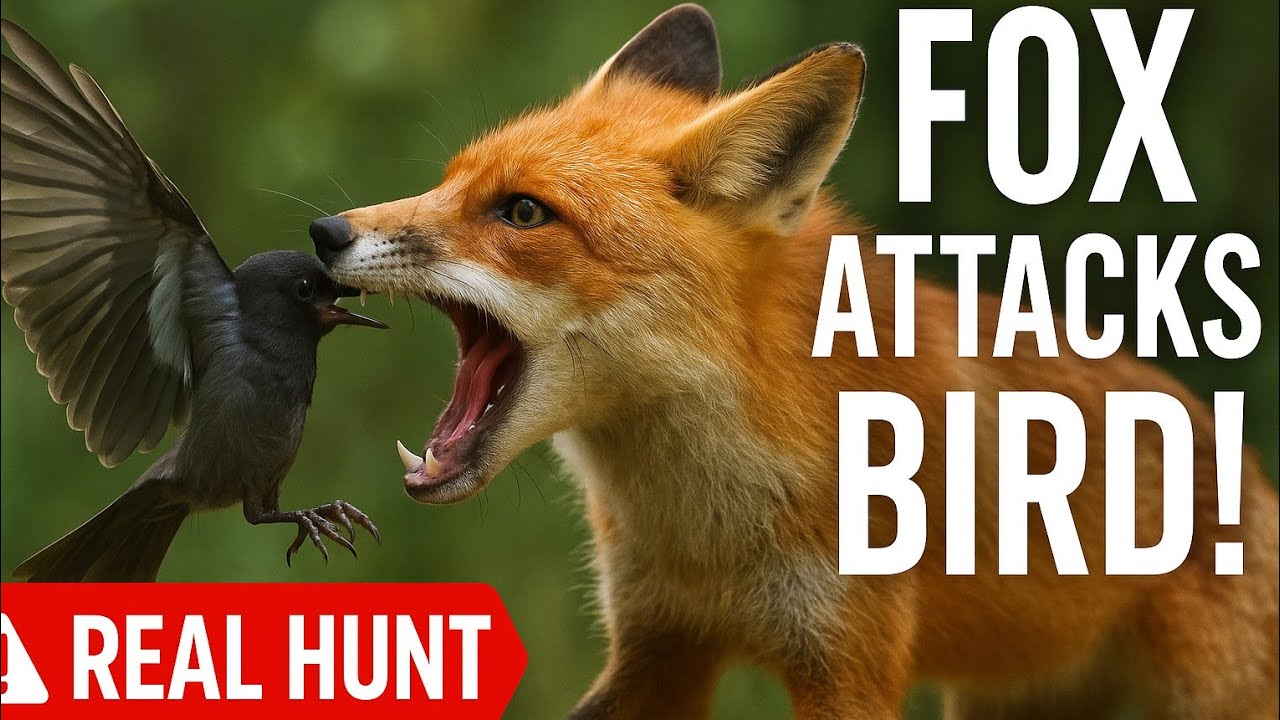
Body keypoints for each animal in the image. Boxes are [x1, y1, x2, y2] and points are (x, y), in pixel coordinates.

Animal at [309, 5, 1279, 718]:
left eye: (521, 212)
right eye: (447, 182)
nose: (324, 231)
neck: (711, 528)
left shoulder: (847, 660)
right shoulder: (657, 646)